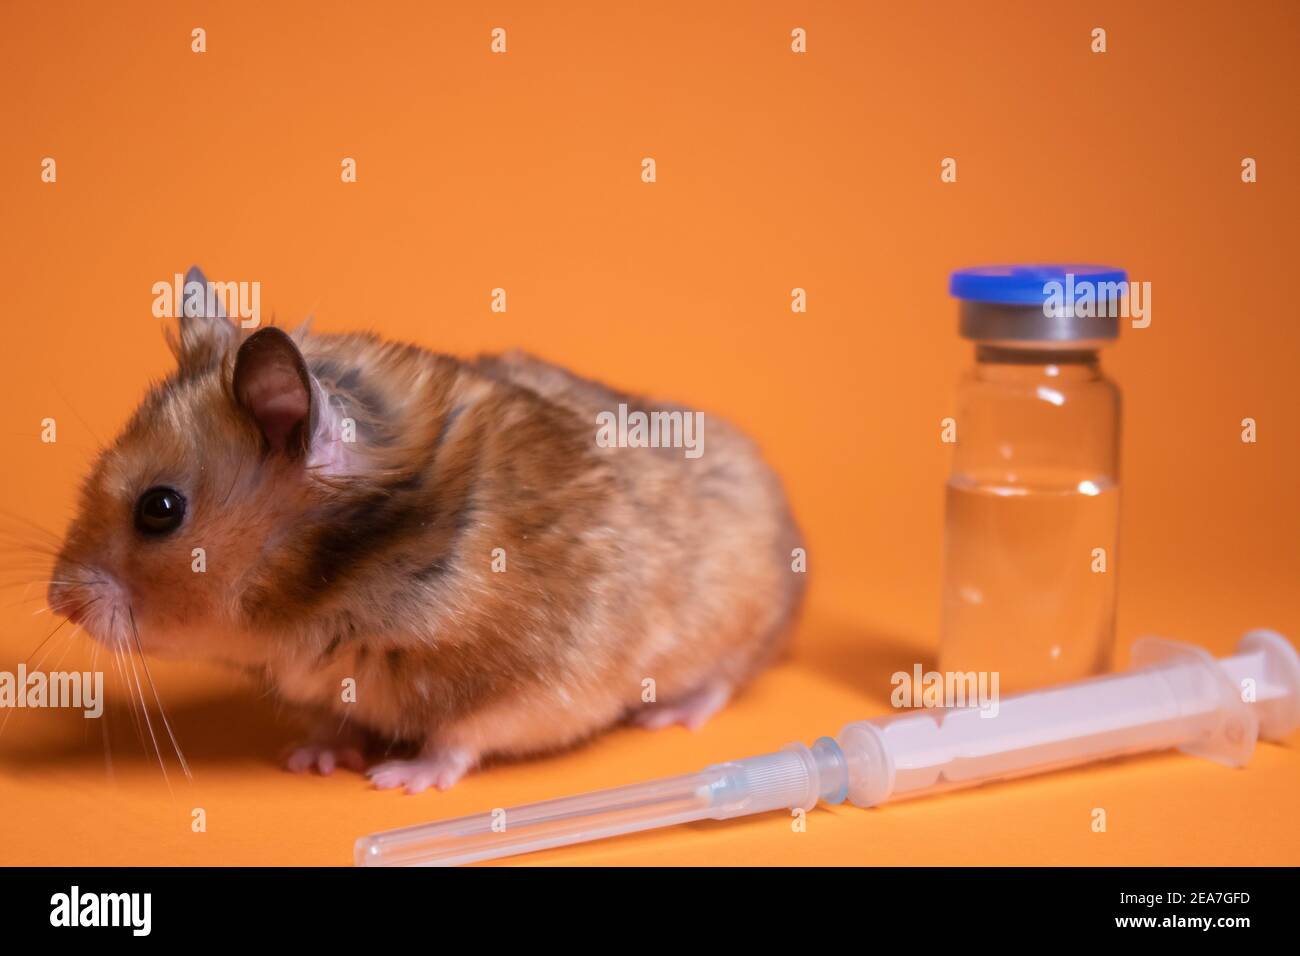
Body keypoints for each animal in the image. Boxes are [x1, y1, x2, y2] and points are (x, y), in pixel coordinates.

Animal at [48, 269, 806, 793]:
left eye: (160, 508)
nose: (57, 601)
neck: (327, 590)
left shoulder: (531, 682)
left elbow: (459, 736)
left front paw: (396, 779)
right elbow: (336, 720)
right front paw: (310, 760)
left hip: (737, 624)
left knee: (724, 678)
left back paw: (668, 715)